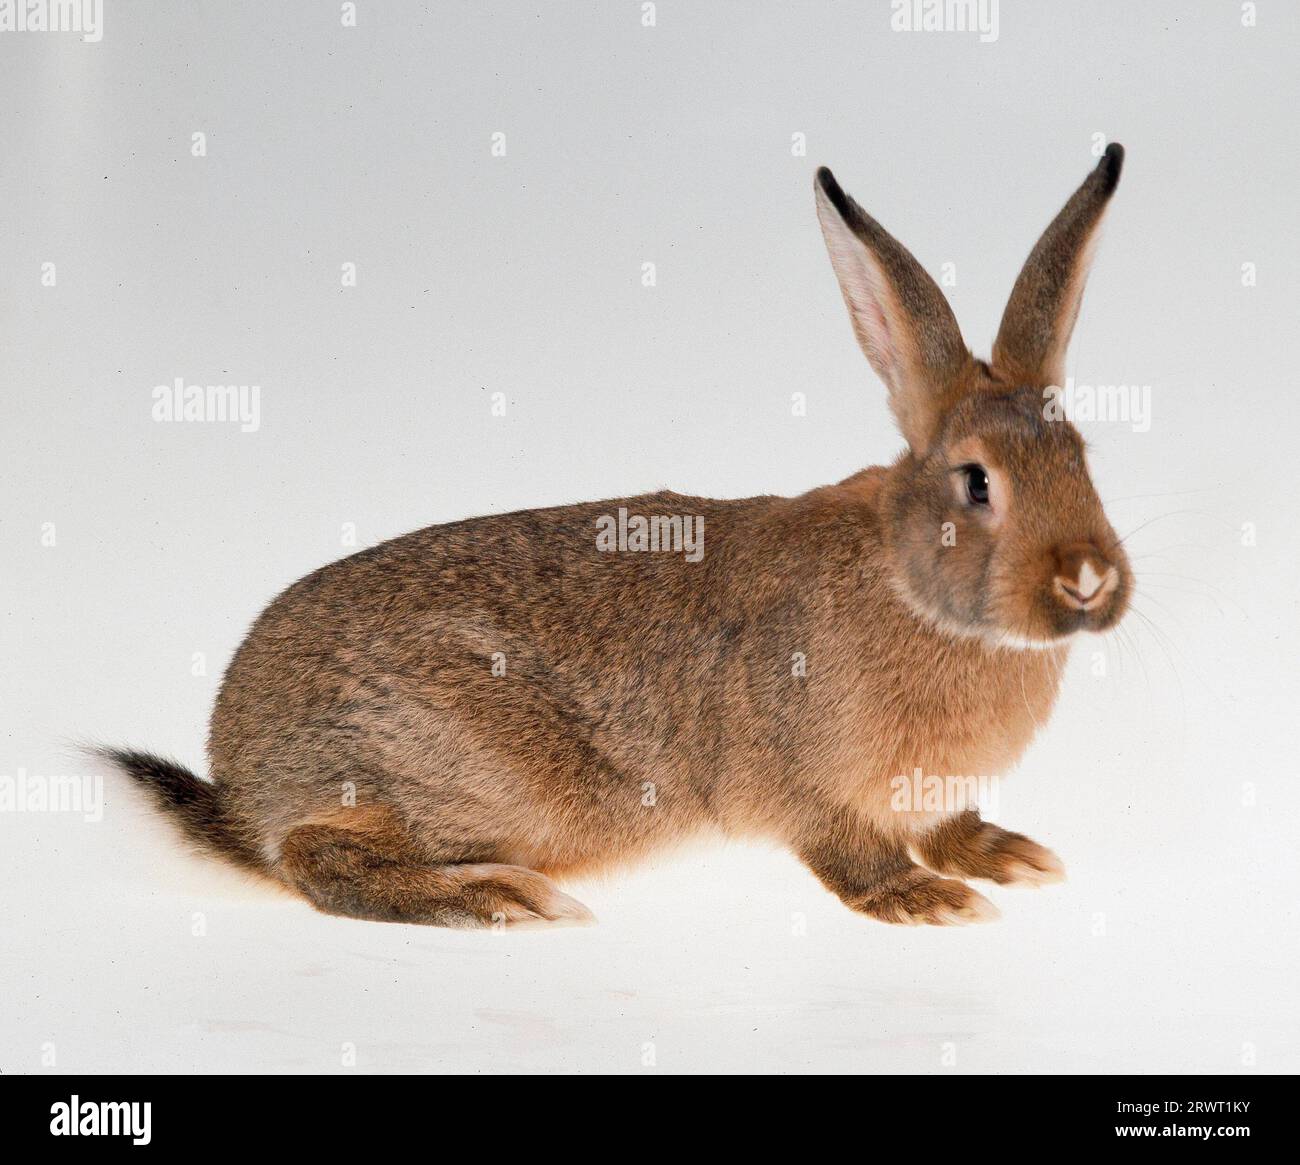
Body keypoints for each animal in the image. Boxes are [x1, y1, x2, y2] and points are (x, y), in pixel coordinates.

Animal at [104, 144, 1131, 928]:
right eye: (976, 483)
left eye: (1083, 457)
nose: (1088, 578)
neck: (909, 585)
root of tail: (241, 780)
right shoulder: (802, 782)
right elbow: (849, 850)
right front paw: (928, 899)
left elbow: (950, 822)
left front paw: (1008, 855)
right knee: (314, 857)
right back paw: (503, 899)